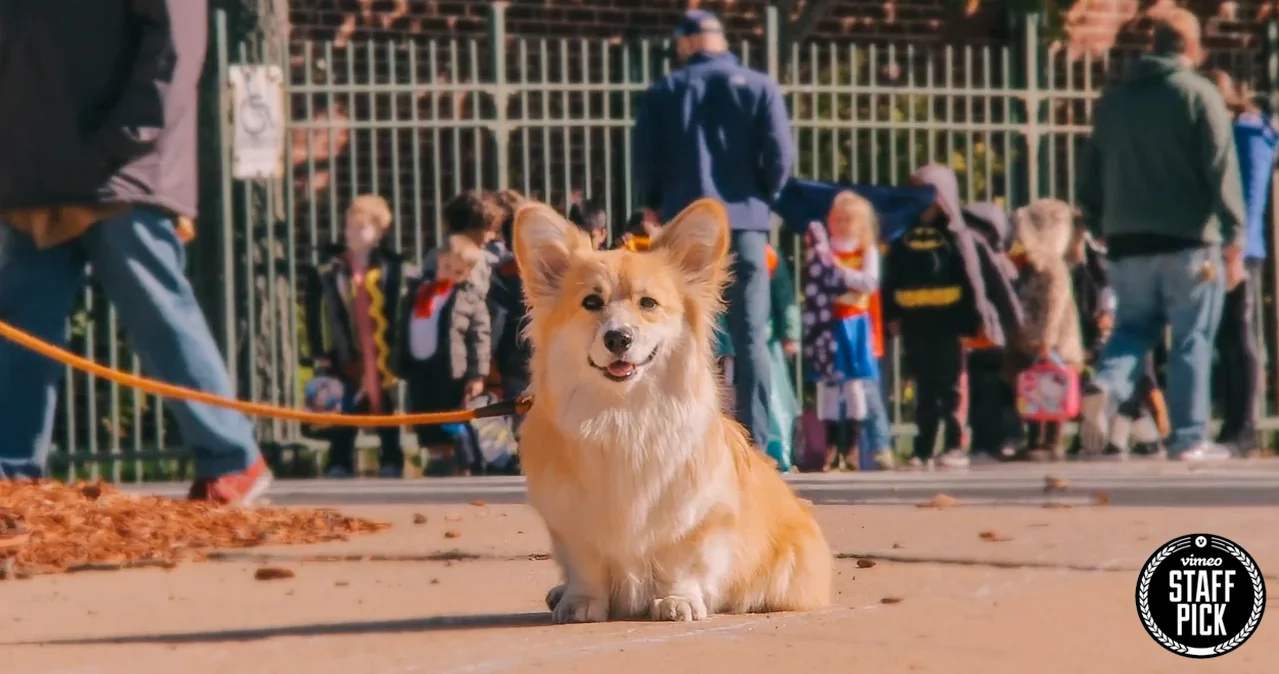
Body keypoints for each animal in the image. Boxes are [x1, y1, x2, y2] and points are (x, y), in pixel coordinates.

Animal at [514, 195, 833, 621]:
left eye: (648, 303)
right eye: (591, 303)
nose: (618, 338)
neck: (621, 413)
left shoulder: (693, 517)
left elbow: (679, 561)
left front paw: (677, 601)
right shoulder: (573, 522)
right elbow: (585, 565)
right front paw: (580, 602)